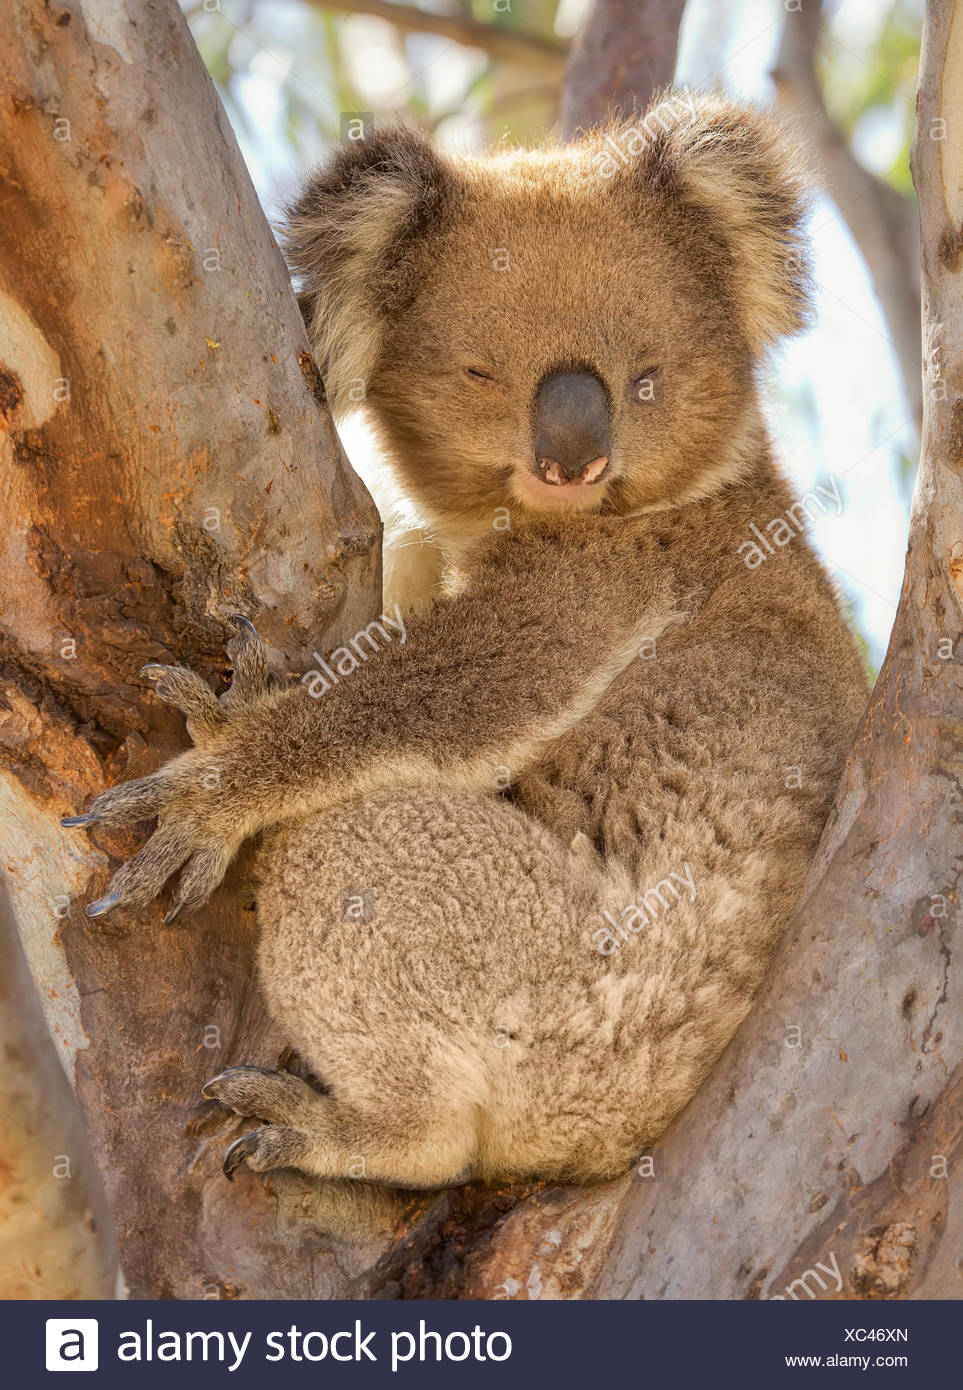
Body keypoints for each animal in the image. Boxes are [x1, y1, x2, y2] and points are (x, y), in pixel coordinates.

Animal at [63, 93, 868, 1188]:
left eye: (646, 380)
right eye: (482, 374)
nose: (574, 458)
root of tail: (607, 1143)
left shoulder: (612, 574)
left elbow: (464, 692)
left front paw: (208, 781)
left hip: (561, 983)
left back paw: (331, 1128)